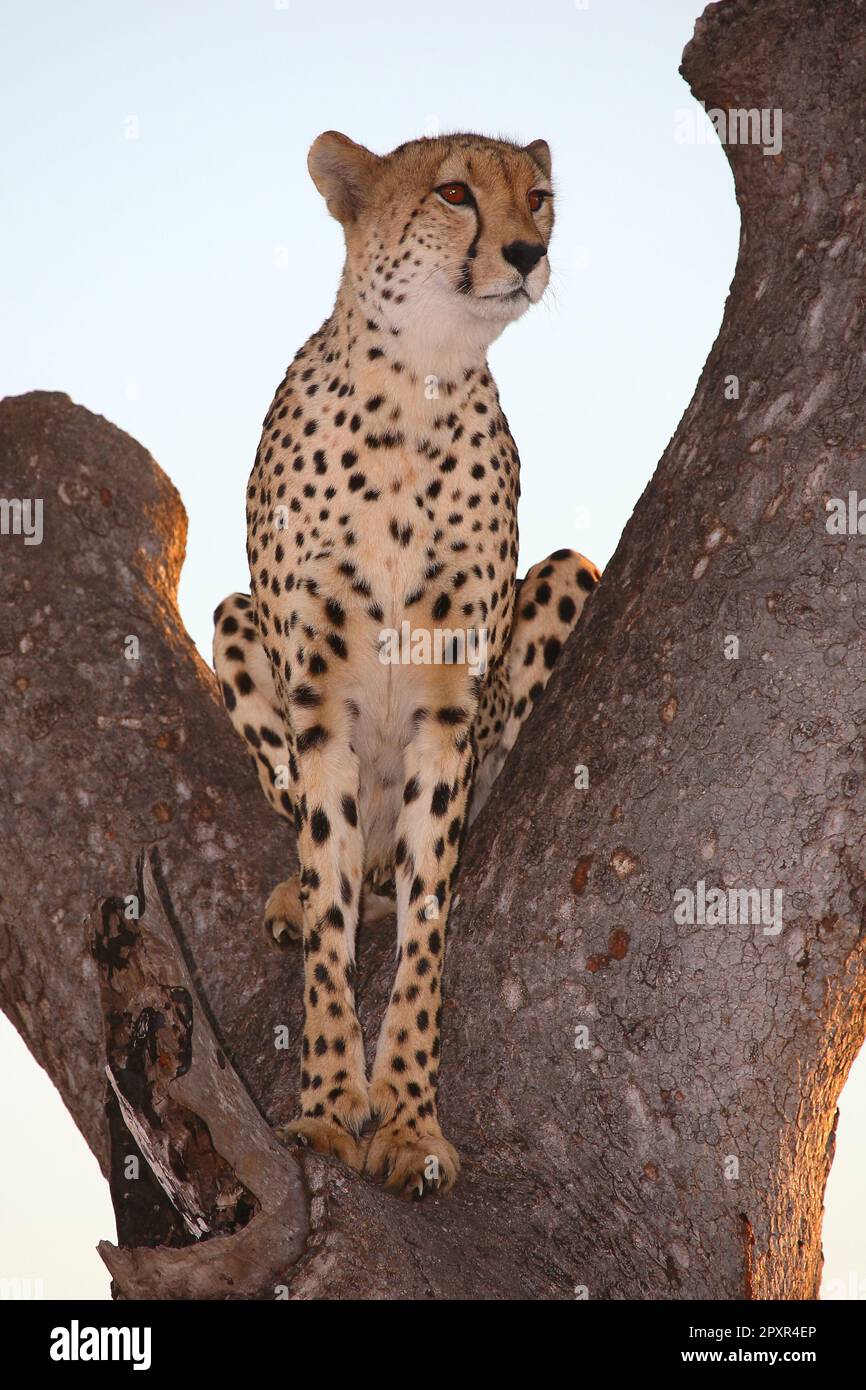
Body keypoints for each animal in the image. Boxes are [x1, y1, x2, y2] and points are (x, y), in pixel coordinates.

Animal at [213, 130, 600, 1198]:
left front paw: (410, 1118)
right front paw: (326, 1103)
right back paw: (298, 897)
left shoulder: (447, 717)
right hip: (233, 619)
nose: (526, 254)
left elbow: (428, 925)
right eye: (456, 193)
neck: (415, 393)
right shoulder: (318, 710)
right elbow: (330, 922)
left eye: (540, 197)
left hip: (570, 572)